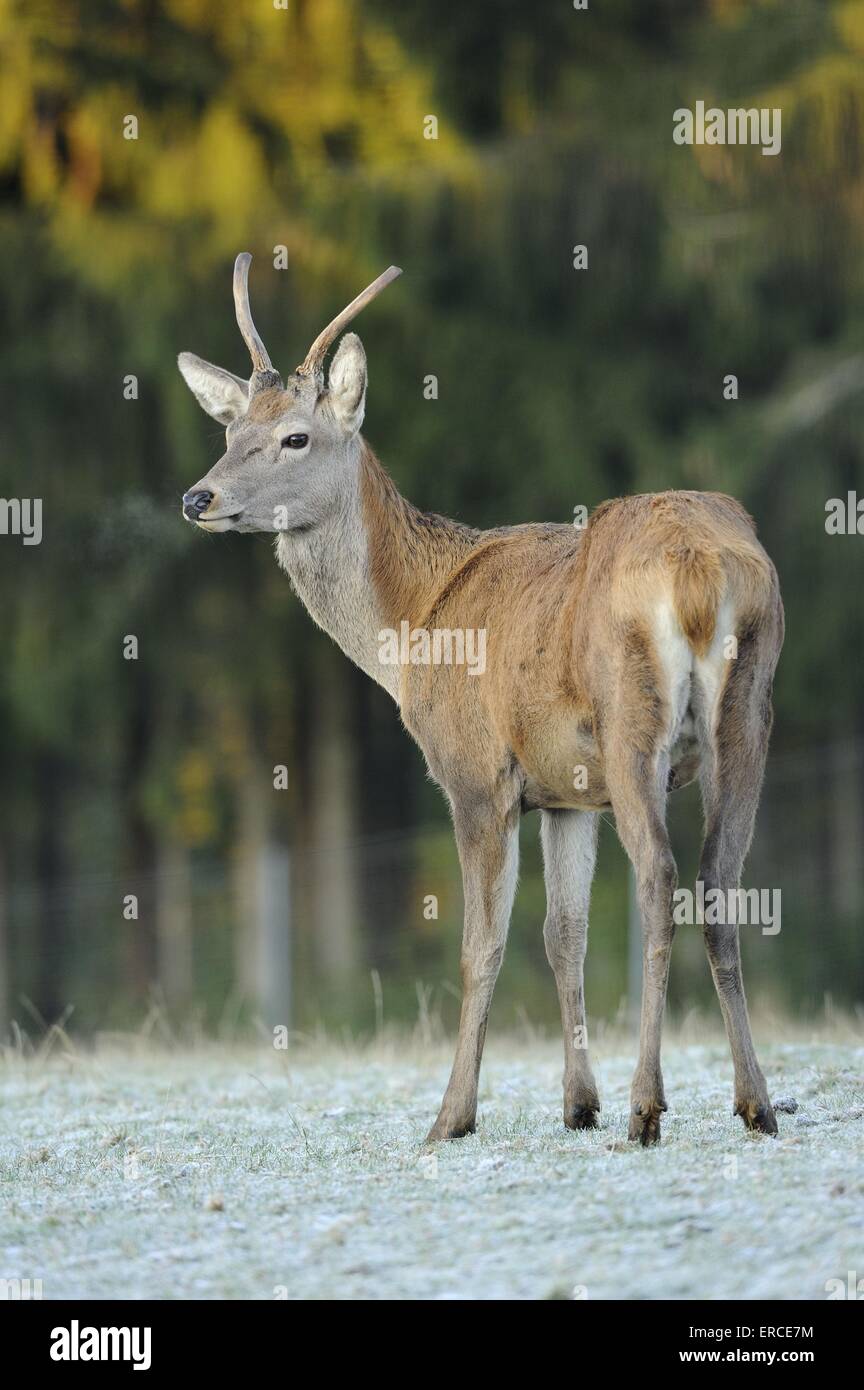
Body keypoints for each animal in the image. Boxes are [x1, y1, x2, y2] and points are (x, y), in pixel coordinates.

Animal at [179, 254, 784, 1145]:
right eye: (230, 433)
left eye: (296, 436)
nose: (199, 498)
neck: (413, 629)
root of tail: (703, 570)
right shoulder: (566, 790)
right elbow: (562, 933)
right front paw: (576, 1104)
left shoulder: (475, 773)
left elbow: (481, 944)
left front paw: (452, 1117)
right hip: (749, 712)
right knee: (718, 880)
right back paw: (755, 1102)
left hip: (633, 720)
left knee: (659, 878)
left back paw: (648, 1106)